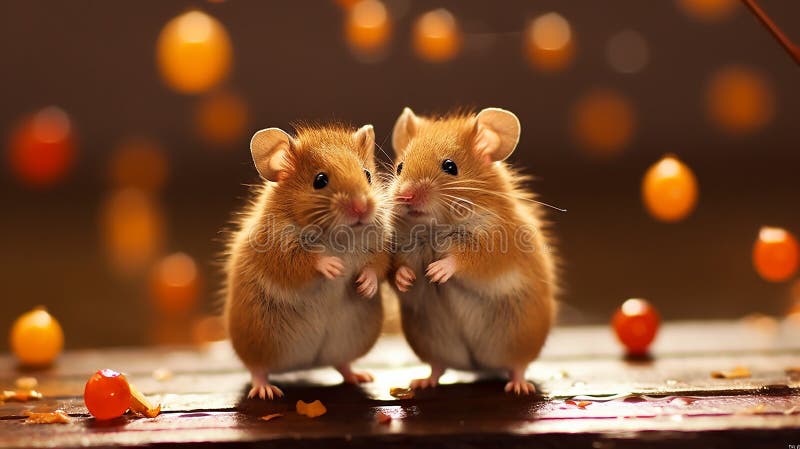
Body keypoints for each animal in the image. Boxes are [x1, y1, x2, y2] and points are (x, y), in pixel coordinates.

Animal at [224, 123, 390, 400]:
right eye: (320, 180)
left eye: (367, 175)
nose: (362, 208)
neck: (339, 235)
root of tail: (303, 364)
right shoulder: (279, 251)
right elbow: (307, 262)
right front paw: (335, 267)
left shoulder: (383, 245)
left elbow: (376, 266)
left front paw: (364, 285)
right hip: (258, 340)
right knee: (257, 369)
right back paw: (266, 391)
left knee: (342, 364)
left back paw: (360, 376)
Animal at [388, 107, 557, 395]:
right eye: (400, 167)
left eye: (450, 166)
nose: (406, 196)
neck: (434, 227)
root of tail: (478, 366)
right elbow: (397, 267)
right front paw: (407, 279)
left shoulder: (493, 247)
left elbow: (463, 260)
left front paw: (436, 272)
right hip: (431, 343)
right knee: (438, 367)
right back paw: (421, 382)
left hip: (519, 340)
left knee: (518, 365)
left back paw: (519, 387)